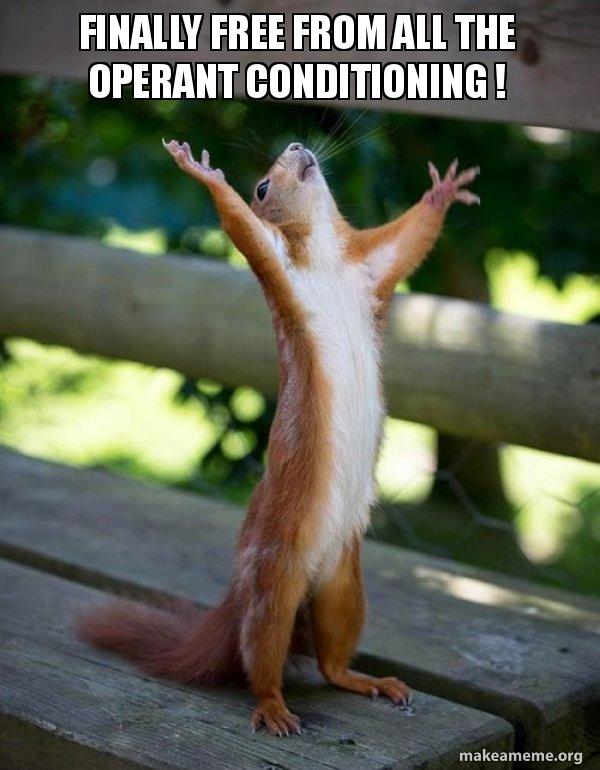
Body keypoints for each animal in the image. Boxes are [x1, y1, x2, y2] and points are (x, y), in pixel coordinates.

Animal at [79, 138, 479, 737]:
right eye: (262, 186)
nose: (296, 146)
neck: (327, 258)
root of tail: (239, 596)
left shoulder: (371, 267)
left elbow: (408, 241)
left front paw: (443, 191)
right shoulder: (277, 266)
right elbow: (241, 227)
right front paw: (204, 174)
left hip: (344, 585)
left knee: (332, 660)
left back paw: (367, 681)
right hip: (274, 582)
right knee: (261, 657)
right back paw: (273, 707)